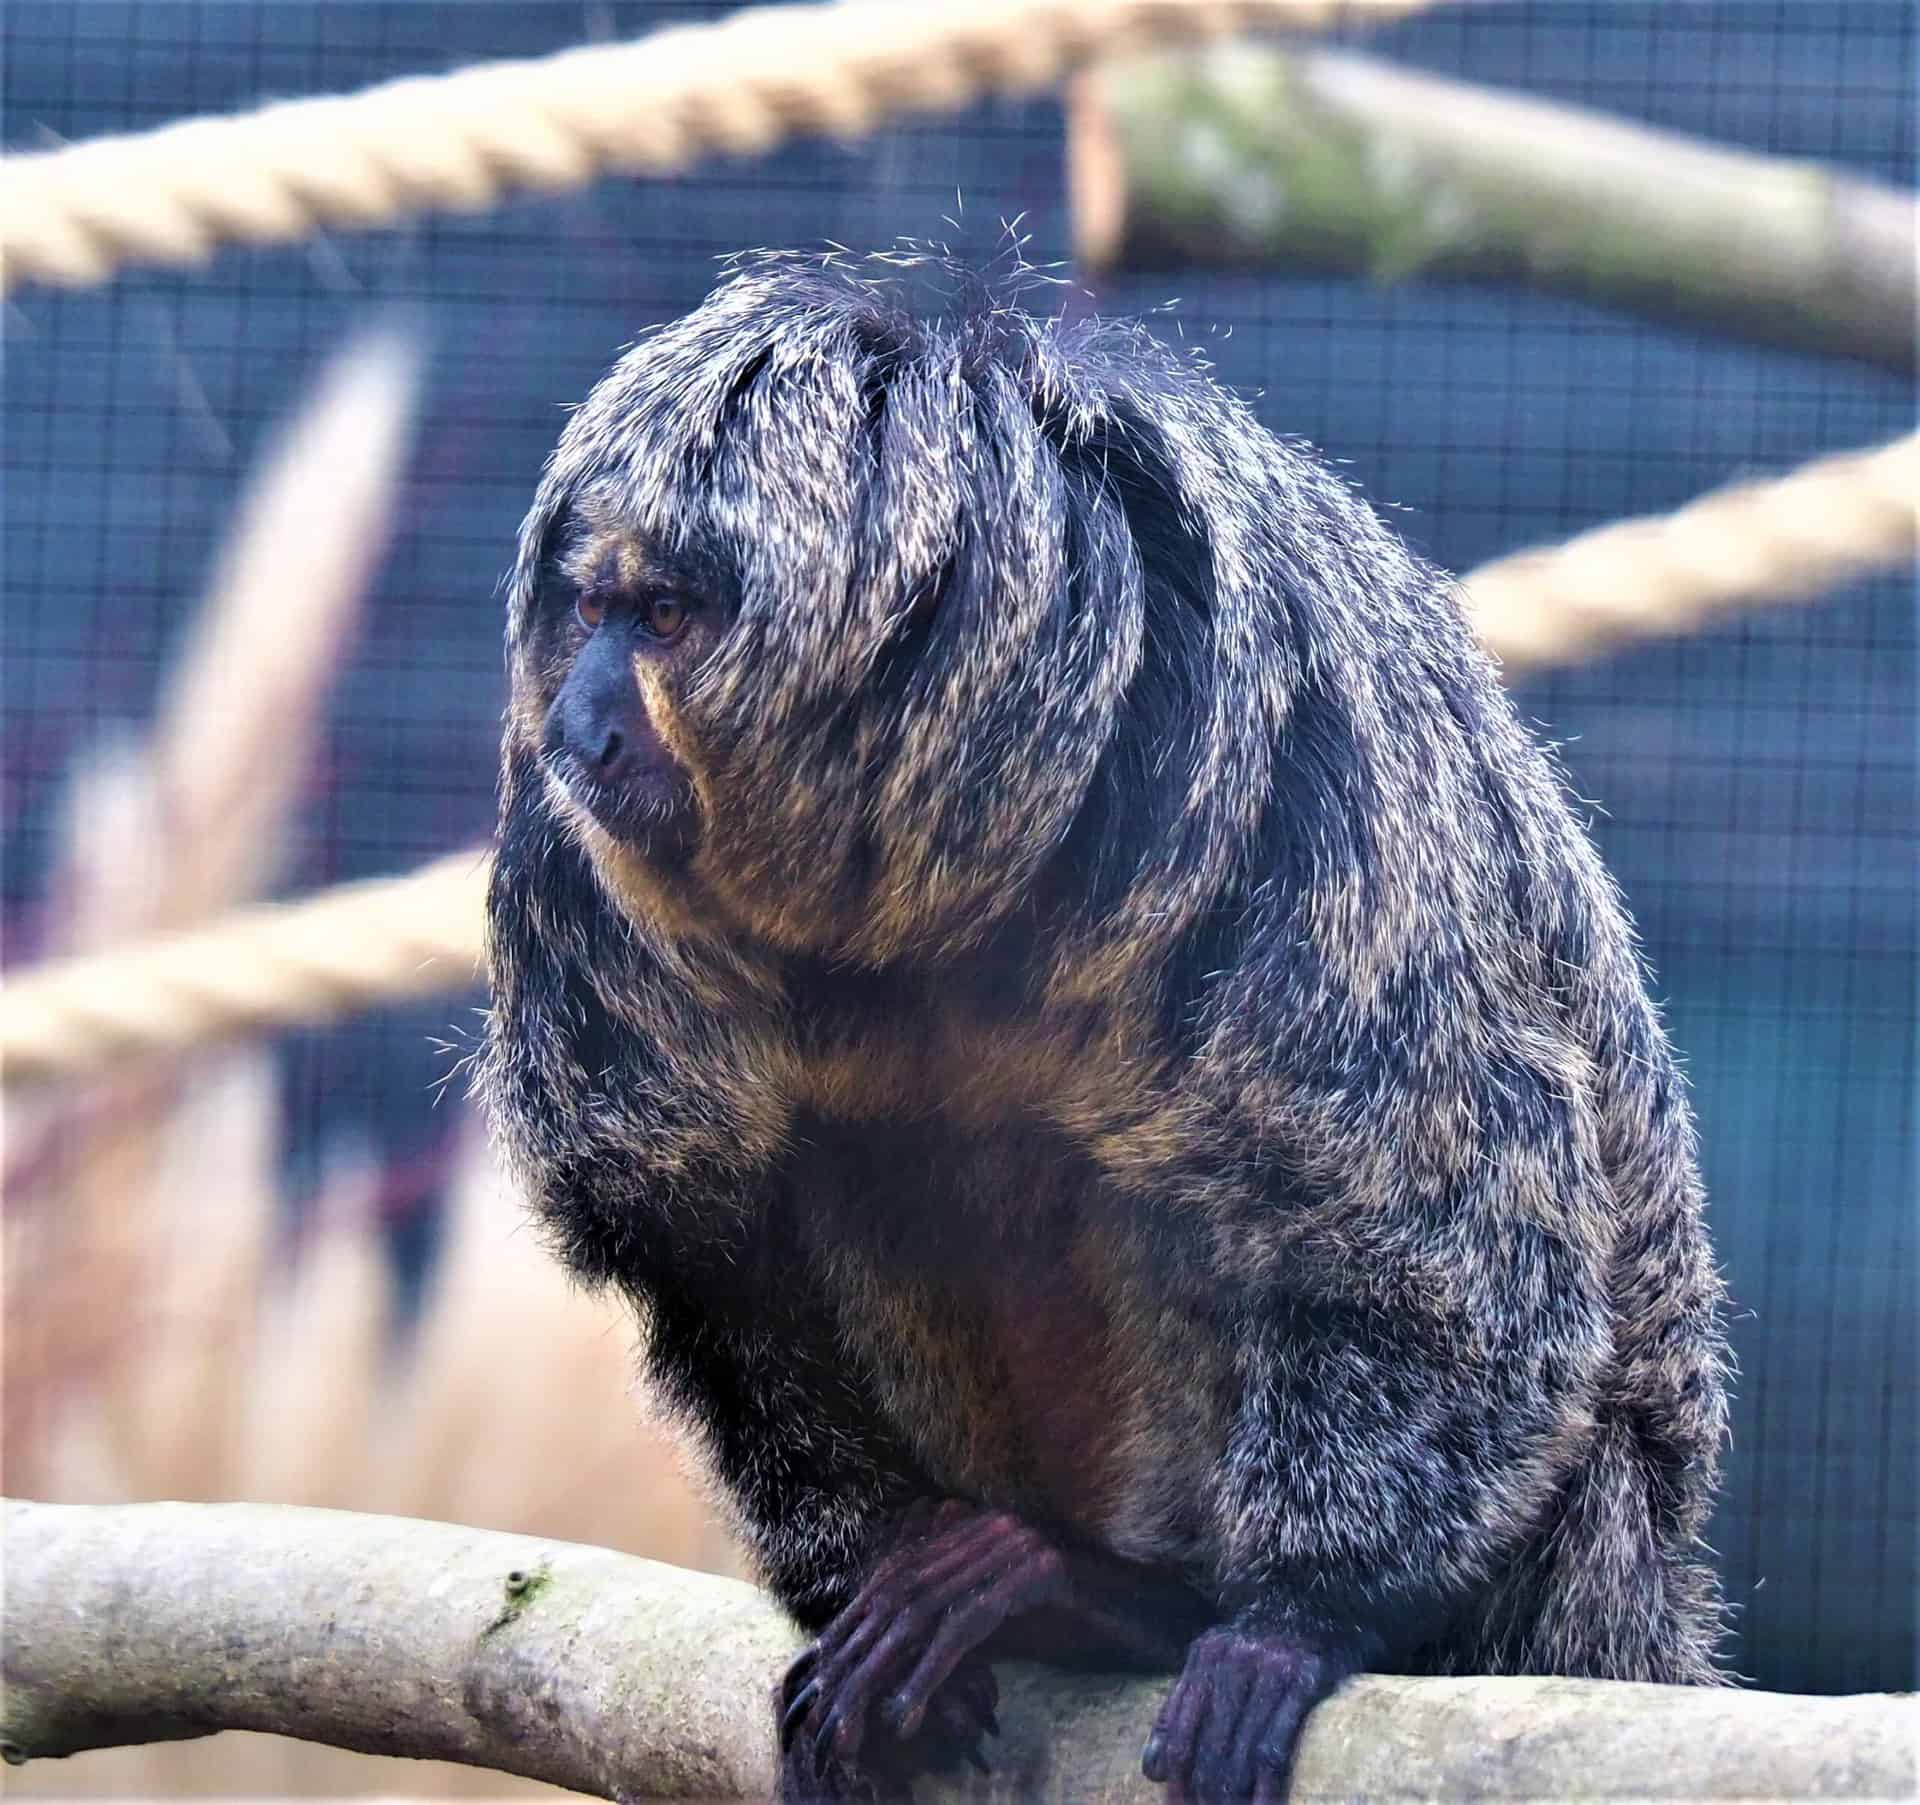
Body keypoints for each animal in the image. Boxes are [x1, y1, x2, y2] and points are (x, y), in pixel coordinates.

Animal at [478, 251, 1731, 1802]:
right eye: (591, 611)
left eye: (661, 618)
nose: (582, 718)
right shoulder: (571, 875)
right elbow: (708, 1241)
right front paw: (869, 1583)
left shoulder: (1300, 776)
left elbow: (1439, 1225)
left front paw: (1297, 1616)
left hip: (1568, 1562)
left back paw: (1120, 1601)